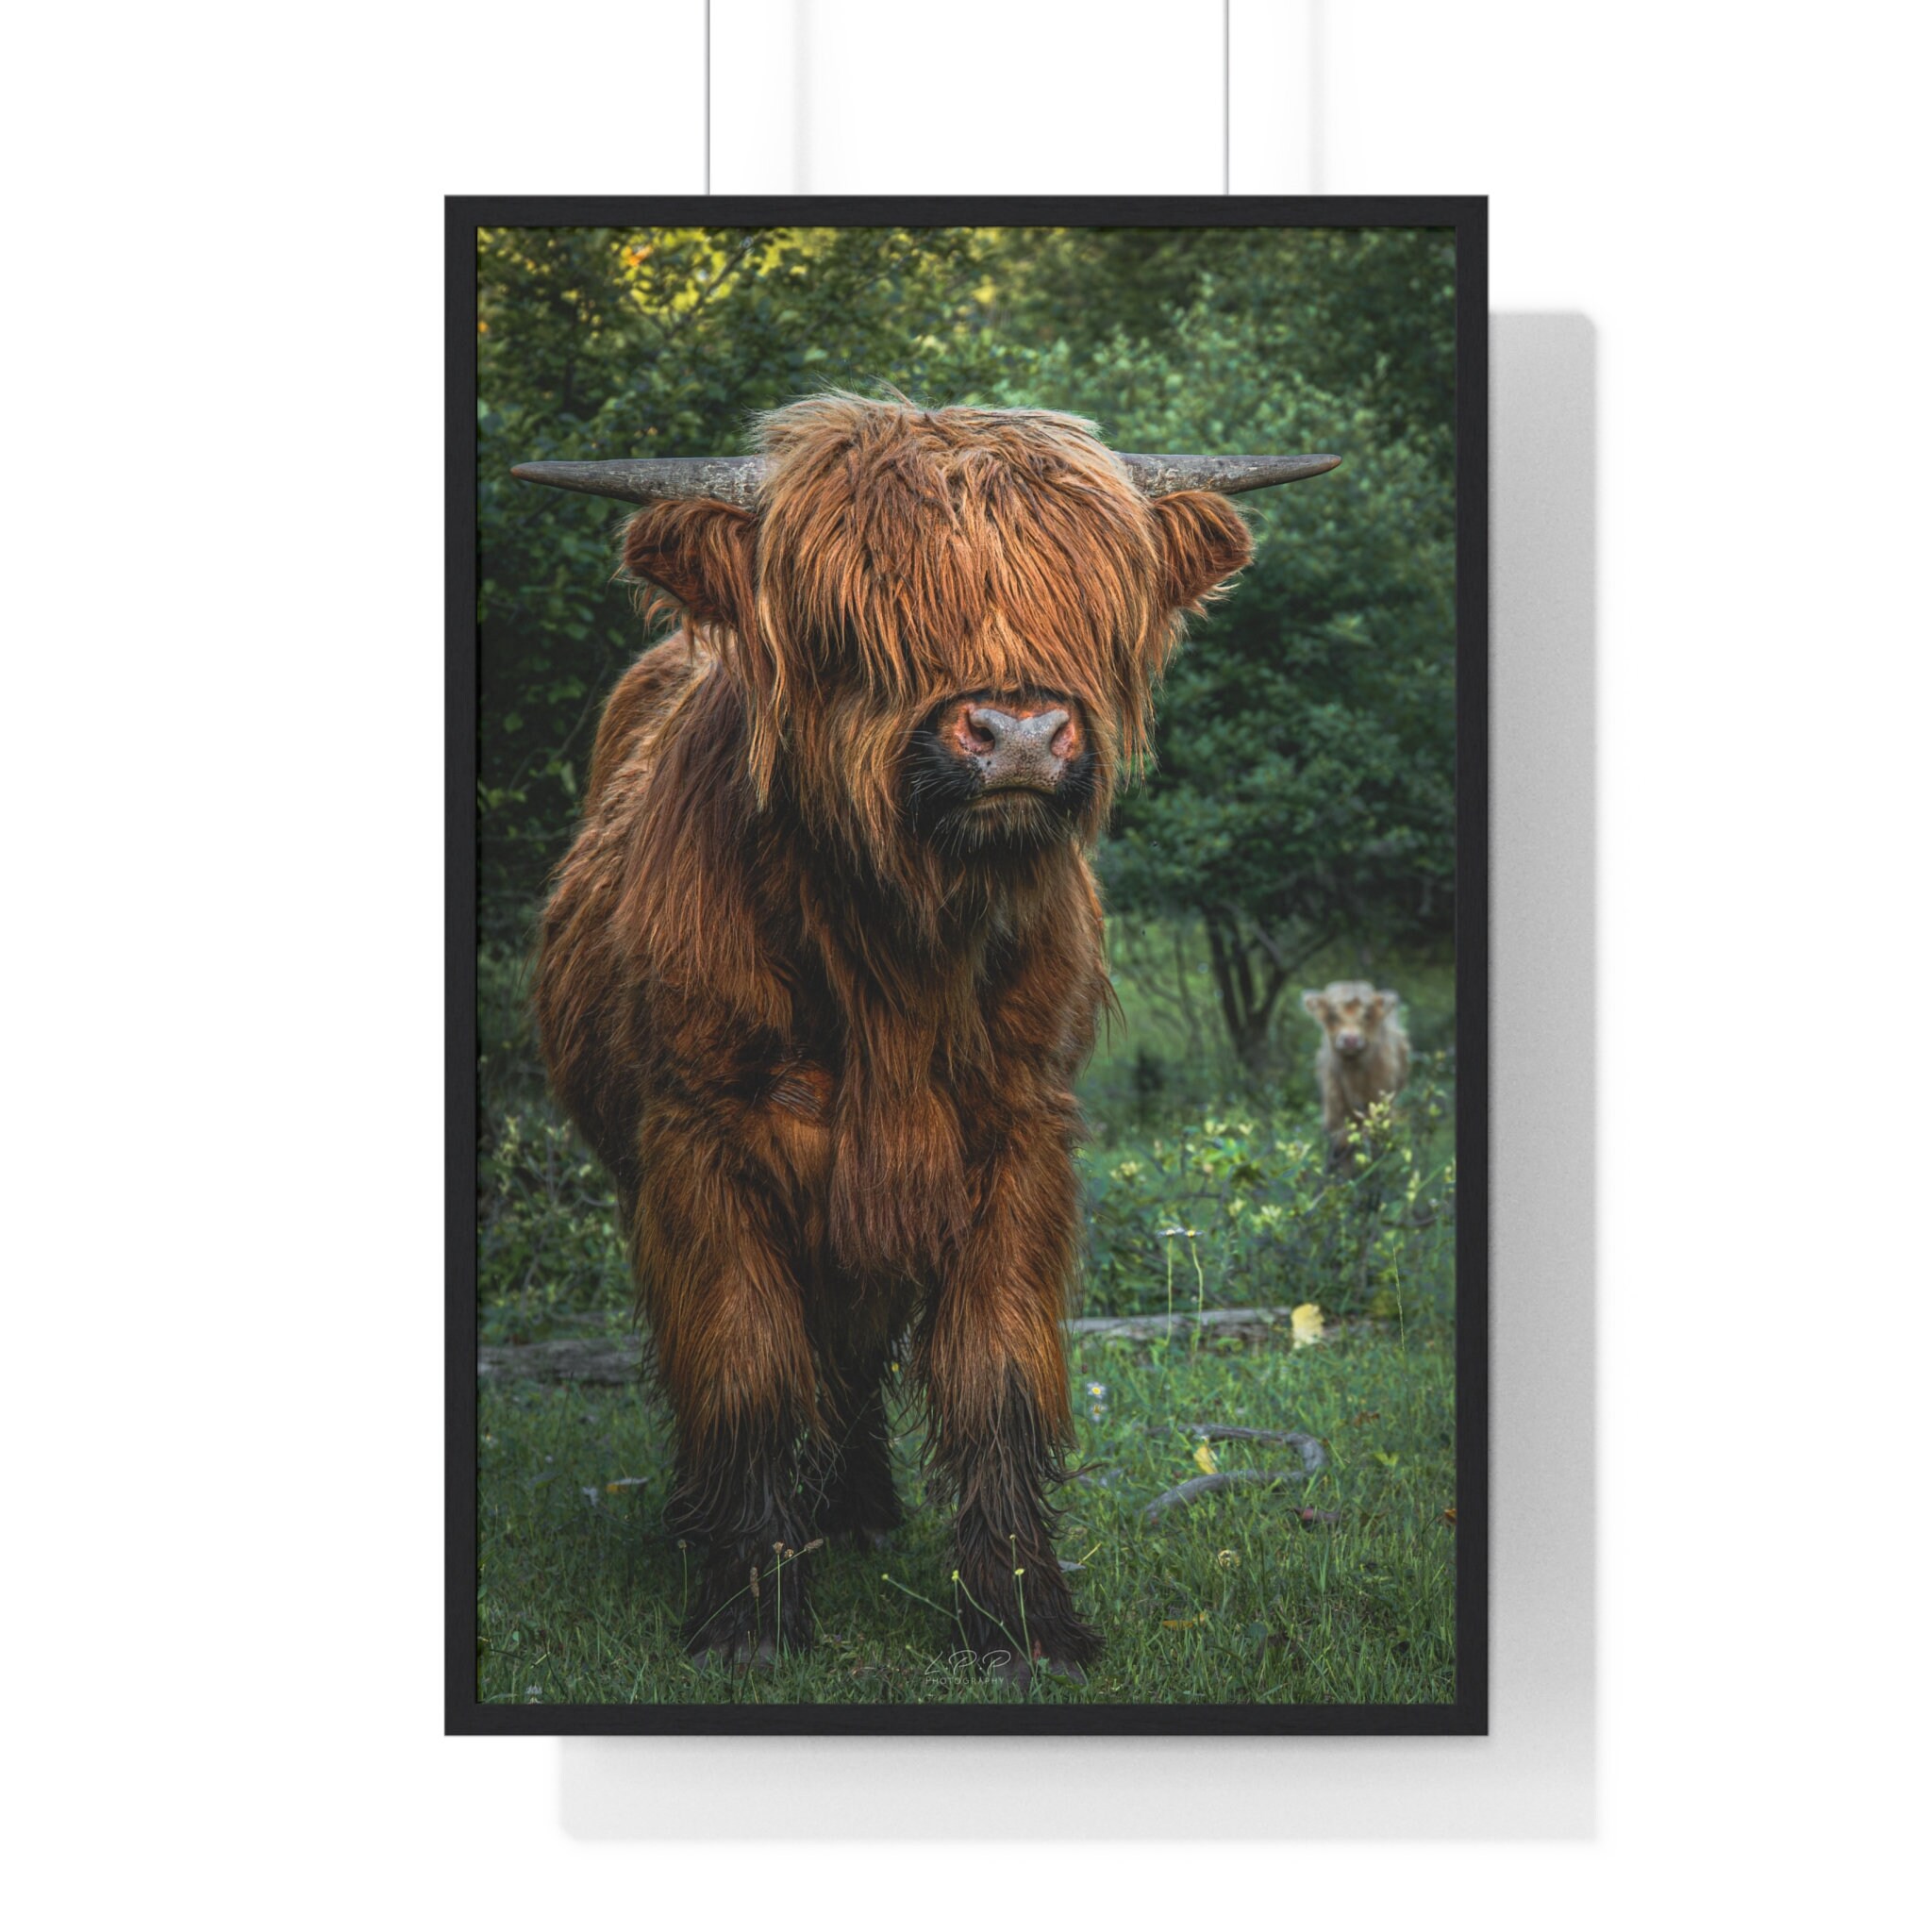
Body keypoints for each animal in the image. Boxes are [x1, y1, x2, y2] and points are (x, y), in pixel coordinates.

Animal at [514, 394, 1338, 1683]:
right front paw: (749, 1616)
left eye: (1087, 601)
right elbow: (745, 1365)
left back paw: (856, 1507)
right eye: (851, 620)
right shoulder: (699, 1140)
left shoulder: (1017, 1135)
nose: (1018, 732)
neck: (898, 965)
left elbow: (994, 1380)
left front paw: (1020, 1620)